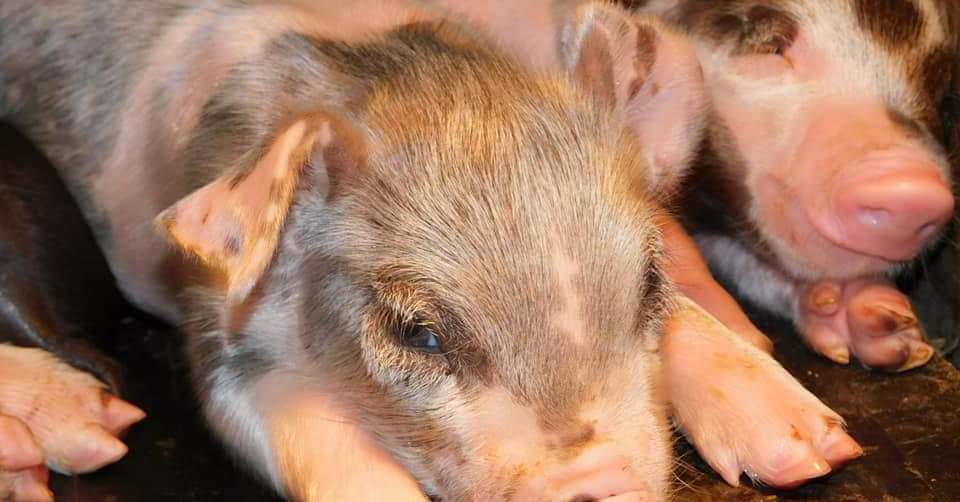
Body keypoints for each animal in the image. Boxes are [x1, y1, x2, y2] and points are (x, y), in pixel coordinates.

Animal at [0, 0, 862, 500]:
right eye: (419, 333)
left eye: (647, 285)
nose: (600, 480)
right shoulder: (214, 325)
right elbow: (308, 434)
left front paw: (813, 450)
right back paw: (77, 434)